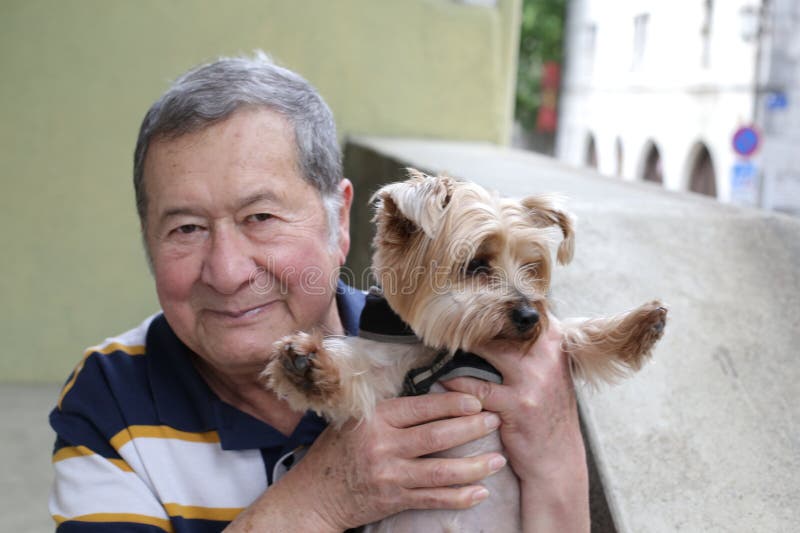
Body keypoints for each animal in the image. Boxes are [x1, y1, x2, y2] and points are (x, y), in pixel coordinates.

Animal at [260, 169, 664, 528]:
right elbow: (358, 372)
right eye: (476, 265)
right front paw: (306, 366)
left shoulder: (551, 343)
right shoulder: (393, 371)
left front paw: (641, 324)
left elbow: (574, 335)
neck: (451, 351)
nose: (530, 315)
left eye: (532, 267)